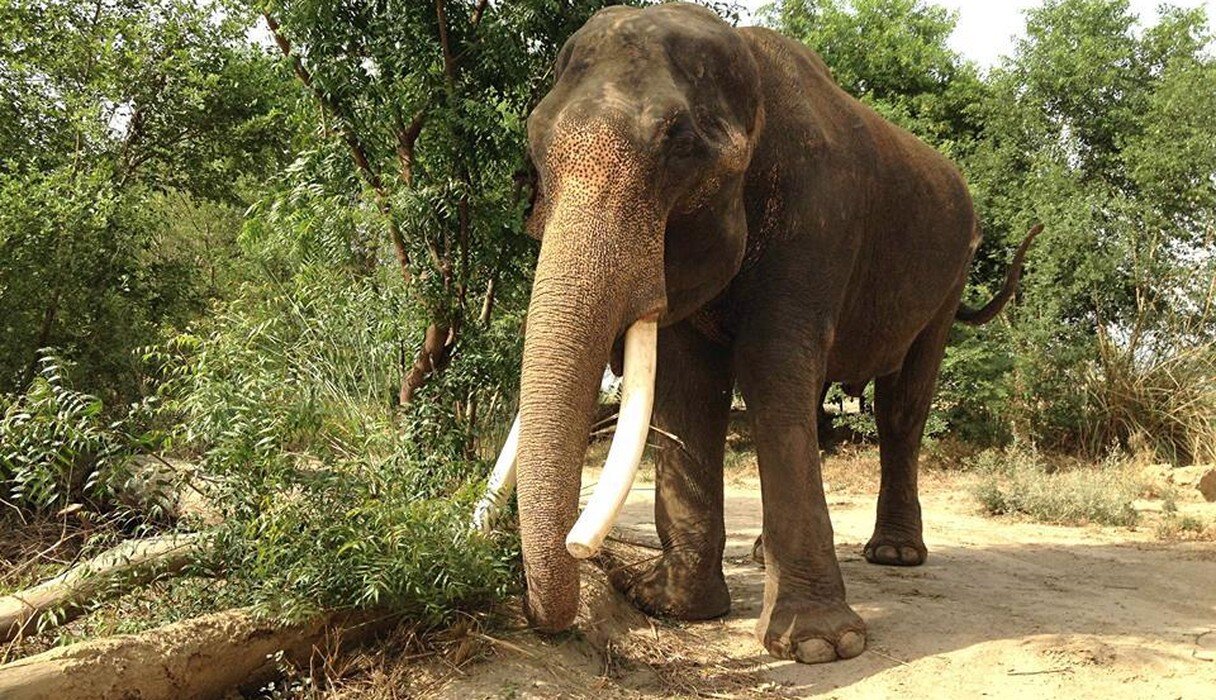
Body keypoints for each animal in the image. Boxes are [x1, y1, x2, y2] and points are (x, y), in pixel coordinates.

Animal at [475, 2, 1039, 665]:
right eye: (535, 150)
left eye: (678, 143)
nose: (583, 557)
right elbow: (689, 385)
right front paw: (669, 605)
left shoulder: (818, 215)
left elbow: (773, 365)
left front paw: (822, 646)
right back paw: (765, 553)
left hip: (948, 280)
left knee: (903, 405)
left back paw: (894, 555)